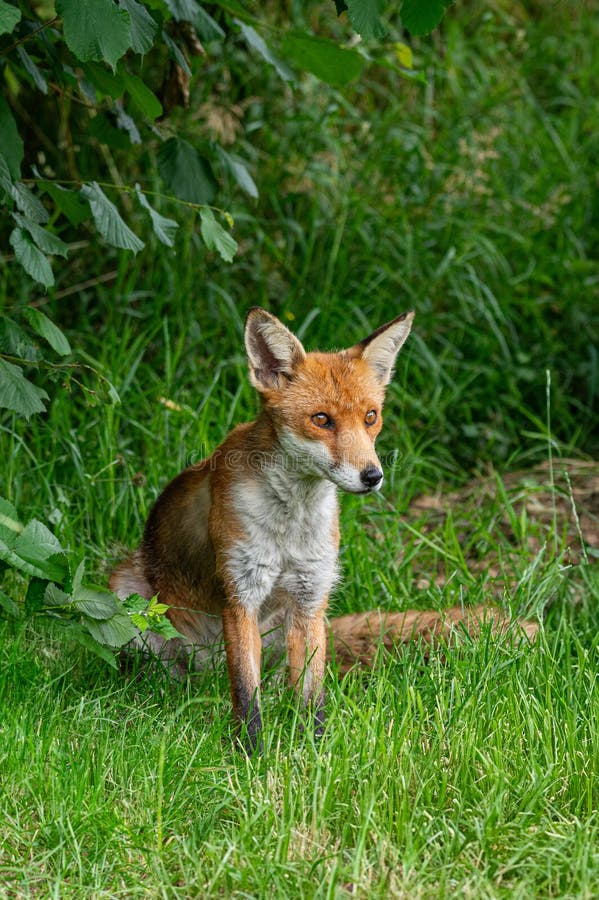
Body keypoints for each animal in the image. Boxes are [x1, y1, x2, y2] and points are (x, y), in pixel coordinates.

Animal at [110, 308, 538, 750]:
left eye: (370, 417)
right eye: (321, 420)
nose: (372, 476)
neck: (290, 525)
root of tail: (207, 672)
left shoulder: (310, 598)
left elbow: (311, 694)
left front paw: (313, 751)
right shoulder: (241, 594)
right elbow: (245, 692)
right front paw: (251, 753)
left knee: (279, 684)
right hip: (129, 599)